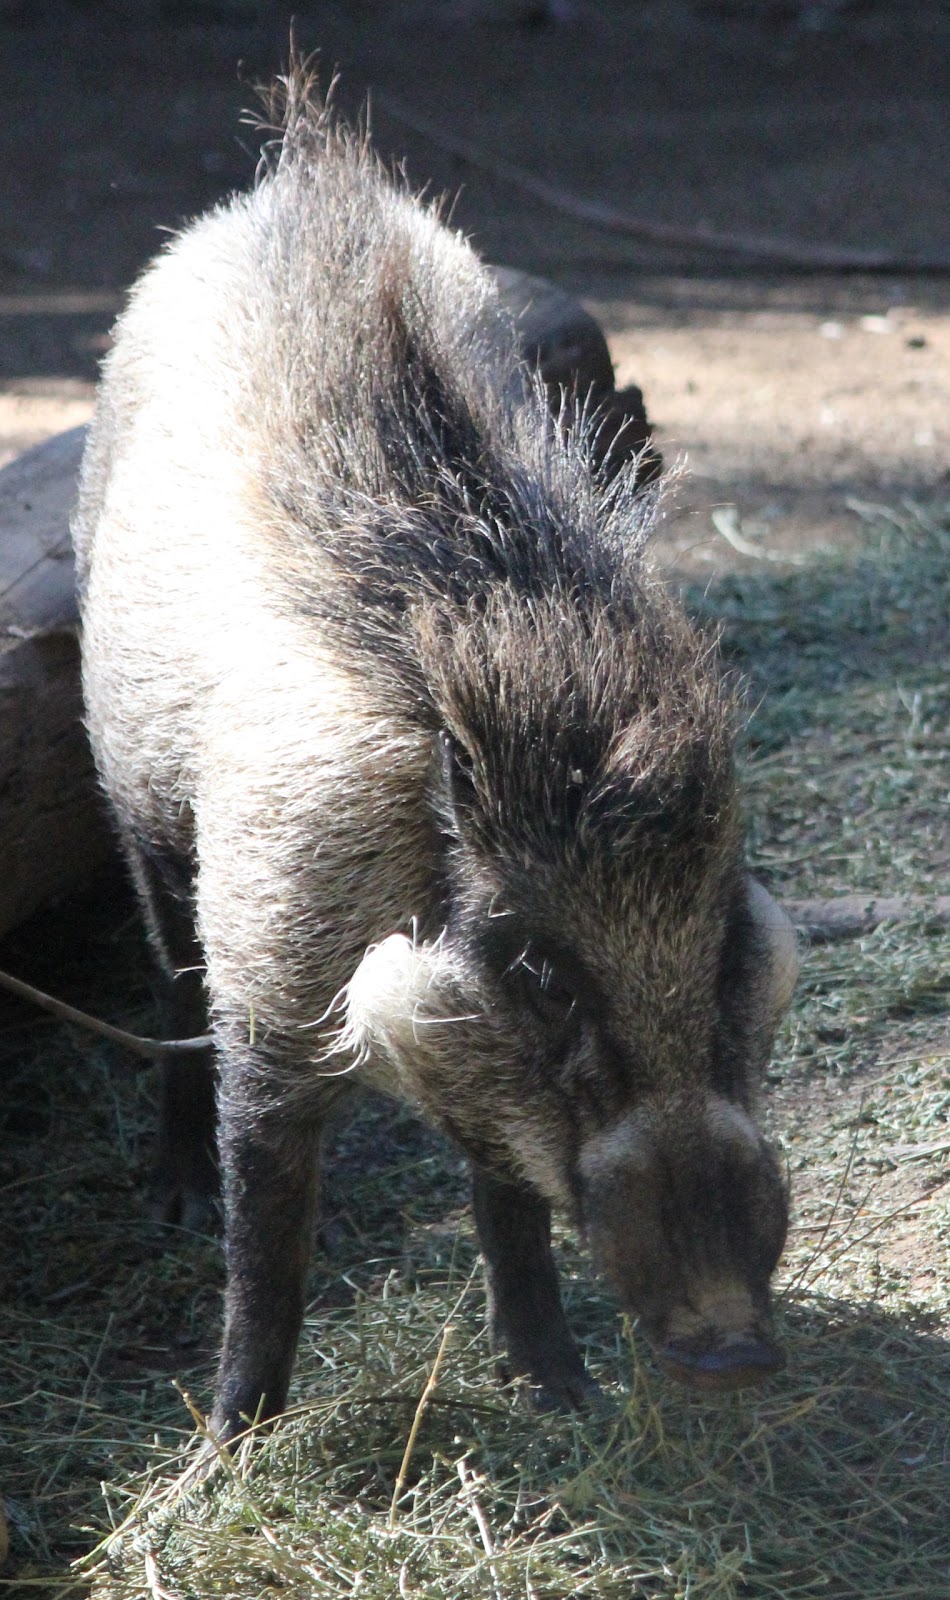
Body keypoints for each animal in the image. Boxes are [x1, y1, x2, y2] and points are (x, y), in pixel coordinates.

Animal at [71, 68, 798, 1442]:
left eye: (728, 933)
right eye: (541, 967)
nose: (732, 1351)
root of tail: (299, 167)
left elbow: (504, 1190)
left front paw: (560, 1393)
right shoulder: (271, 961)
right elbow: (267, 1230)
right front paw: (230, 1439)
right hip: (139, 801)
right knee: (169, 987)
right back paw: (173, 1200)